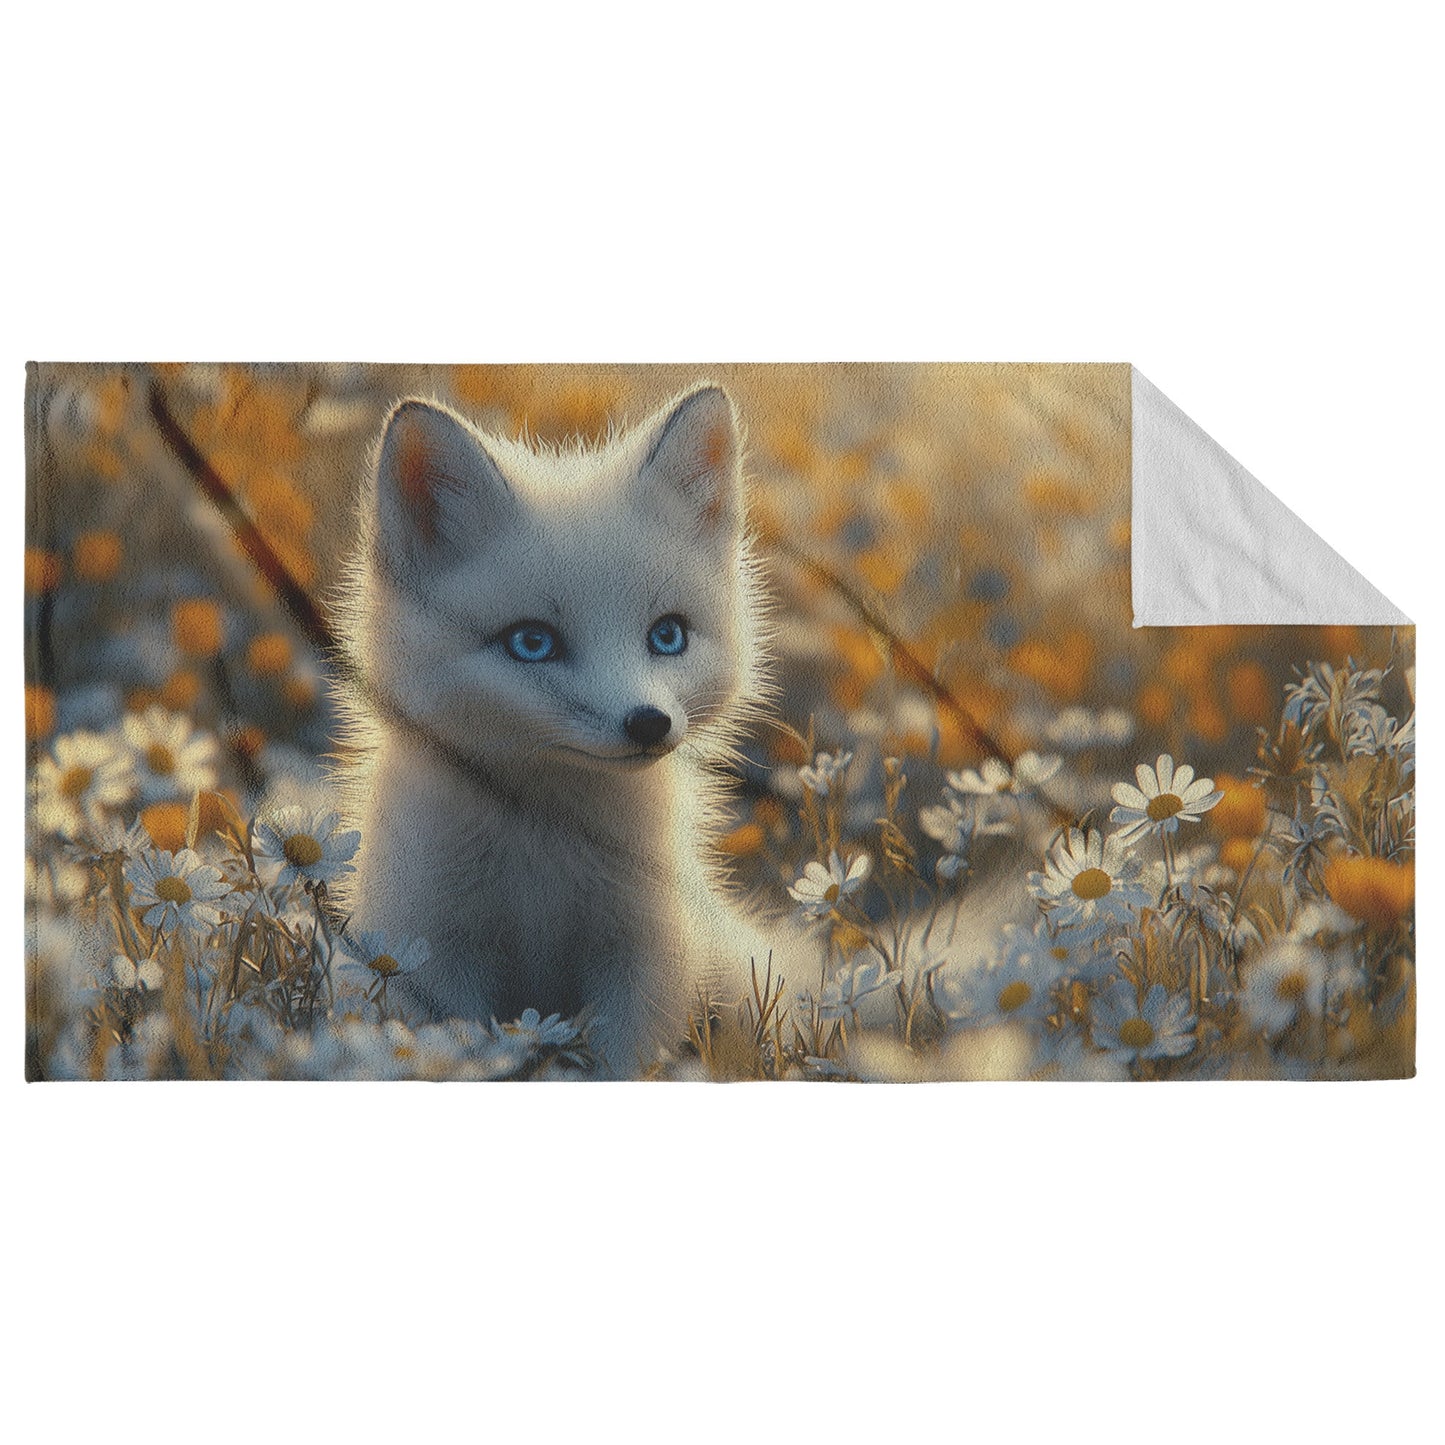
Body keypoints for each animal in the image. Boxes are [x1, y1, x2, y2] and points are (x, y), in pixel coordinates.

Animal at [332, 384, 788, 1074]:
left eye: (668, 635)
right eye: (532, 642)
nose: (649, 723)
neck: (544, 857)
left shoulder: (641, 961)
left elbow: (622, 1070)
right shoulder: (435, 958)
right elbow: (468, 1054)